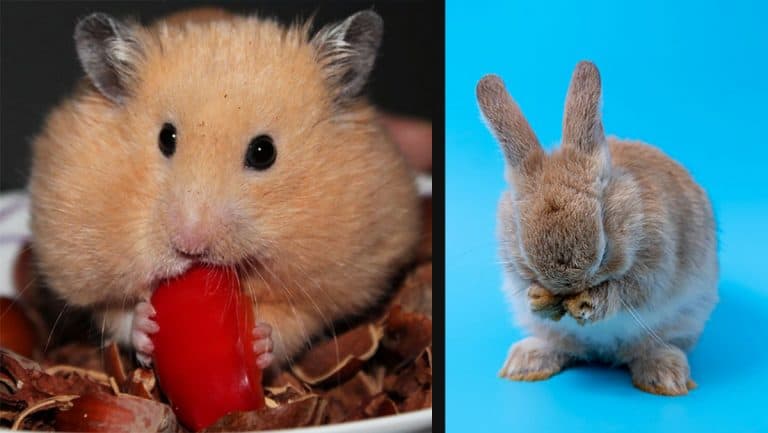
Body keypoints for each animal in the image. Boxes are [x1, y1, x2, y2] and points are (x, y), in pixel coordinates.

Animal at [27, 8, 421, 370]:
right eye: (166, 138)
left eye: (263, 152)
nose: (190, 247)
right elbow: (114, 312)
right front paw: (146, 325)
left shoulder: (329, 282)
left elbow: (294, 320)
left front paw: (261, 341)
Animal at [476, 61, 718, 395]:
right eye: (523, 248)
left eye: (604, 249)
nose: (567, 285)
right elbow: (525, 288)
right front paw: (538, 300)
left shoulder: (654, 266)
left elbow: (627, 291)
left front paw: (589, 303)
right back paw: (525, 364)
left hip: (685, 319)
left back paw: (666, 378)